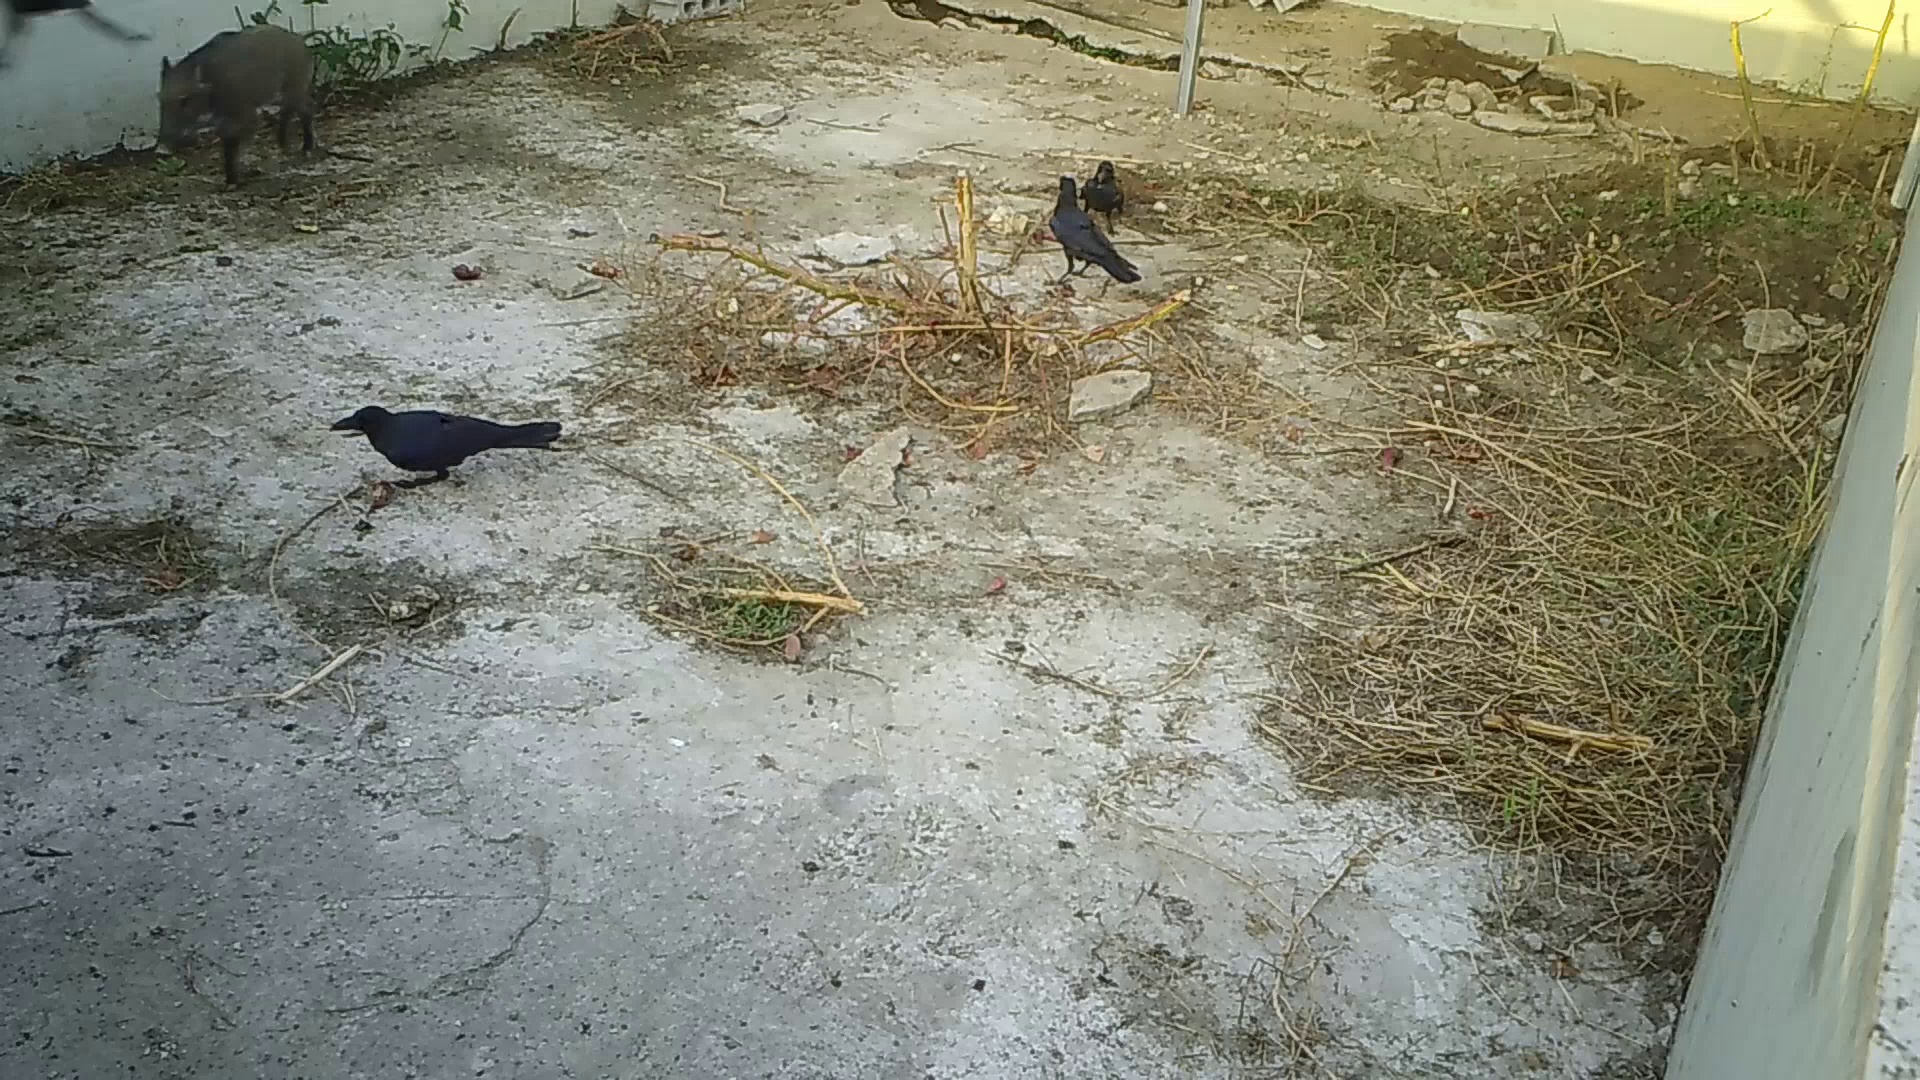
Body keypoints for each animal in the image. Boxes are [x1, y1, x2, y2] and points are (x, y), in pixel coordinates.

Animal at [158, 25, 316, 188]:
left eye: (184, 100)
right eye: (160, 98)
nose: (161, 148)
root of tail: (303, 43)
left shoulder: (247, 117)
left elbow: (237, 148)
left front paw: (235, 181)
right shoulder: (224, 122)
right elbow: (228, 147)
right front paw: (230, 181)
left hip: (294, 90)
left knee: (306, 109)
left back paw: (306, 148)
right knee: (288, 111)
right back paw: (284, 145)